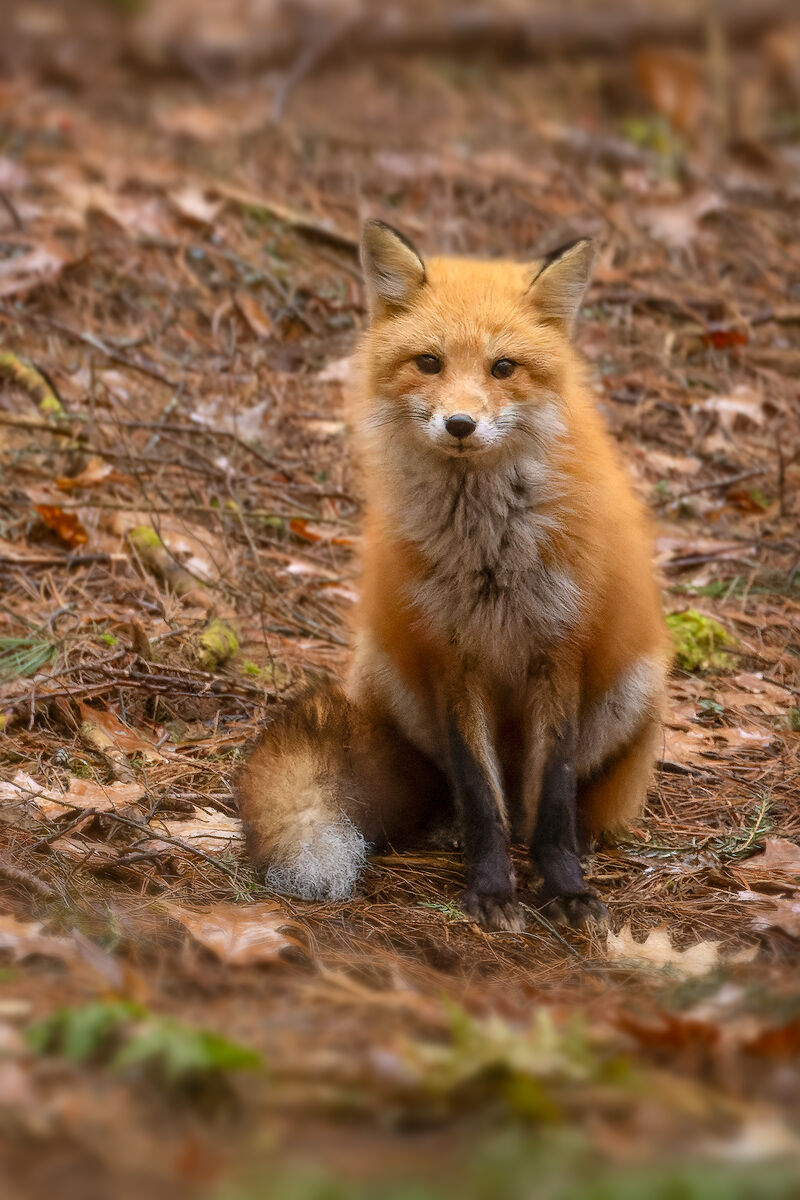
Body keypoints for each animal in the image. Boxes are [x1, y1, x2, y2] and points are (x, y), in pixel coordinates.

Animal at [236, 219, 670, 933]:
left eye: (503, 368)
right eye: (429, 363)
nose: (460, 424)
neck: (488, 551)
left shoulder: (561, 647)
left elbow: (554, 795)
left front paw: (566, 889)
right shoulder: (450, 651)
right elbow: (477, 793)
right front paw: (491, 890)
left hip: (633, 685)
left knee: (543, 808)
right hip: (392, 672)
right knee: (477, 800)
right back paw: (448, 830)